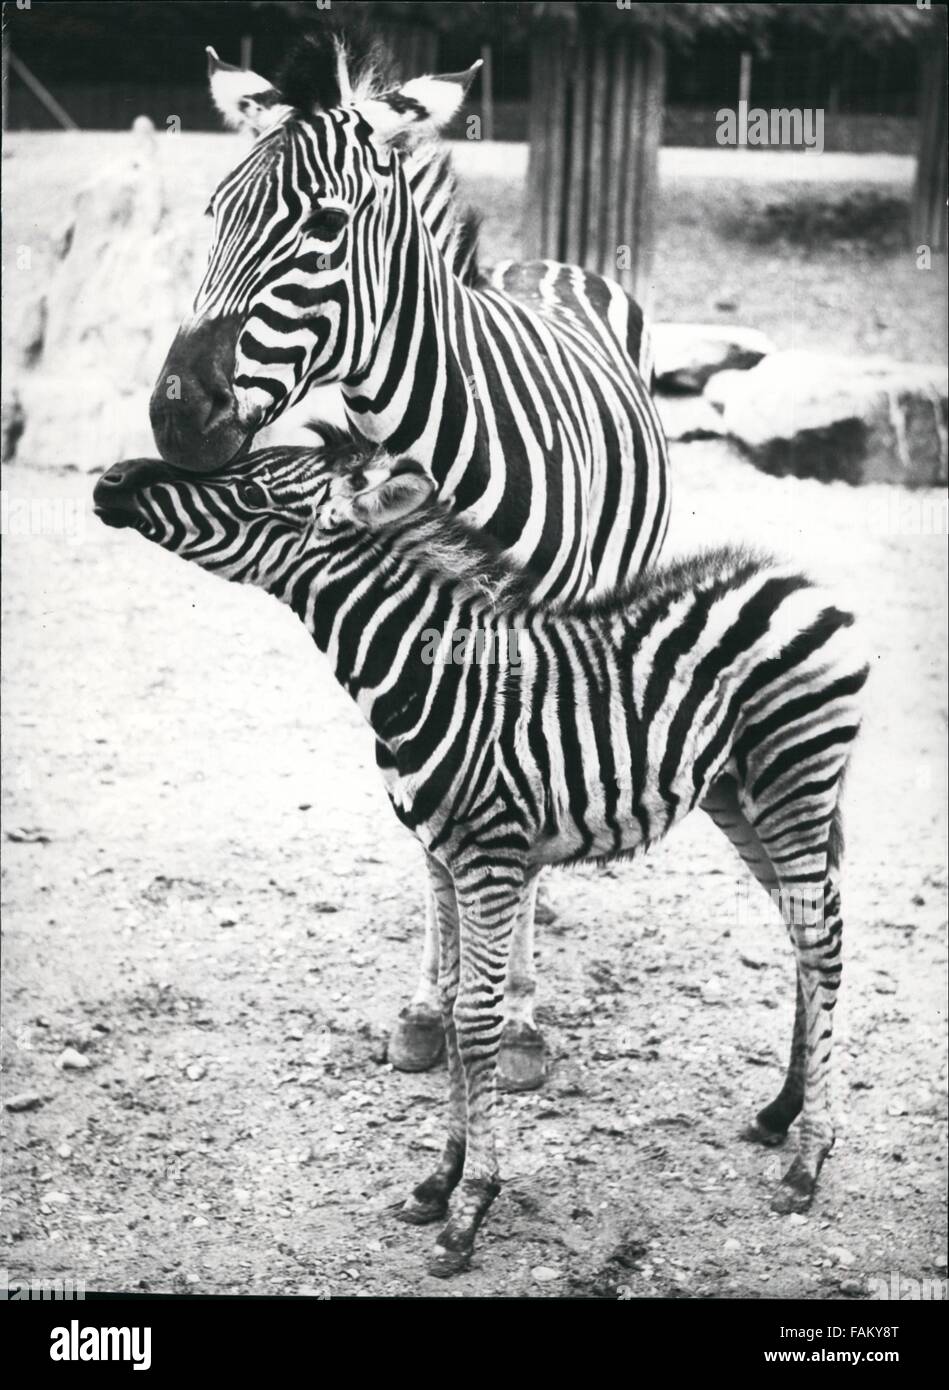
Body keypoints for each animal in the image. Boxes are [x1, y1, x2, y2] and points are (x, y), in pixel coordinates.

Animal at [94, 440, 869, 1279]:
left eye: (252, 493)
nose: (109, 480)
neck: (428, 679)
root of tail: (796, 581)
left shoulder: (490, 859)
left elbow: (475, 1018)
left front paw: (468, 1210)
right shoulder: (440, 855)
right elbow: (453, 1002)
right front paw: (438, 1182)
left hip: (794, 780)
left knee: (821, 944)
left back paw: (808, 1160)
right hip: (736, 794)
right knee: (802, 935)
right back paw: (781, 1112)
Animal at [147, 26, 670, 1089]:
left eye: (323, 225)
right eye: (214, 214)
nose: (177, 415)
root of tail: (546, 264)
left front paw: (517, 1018)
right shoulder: (408, 655)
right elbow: (433, 843)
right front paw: (433, 1005)